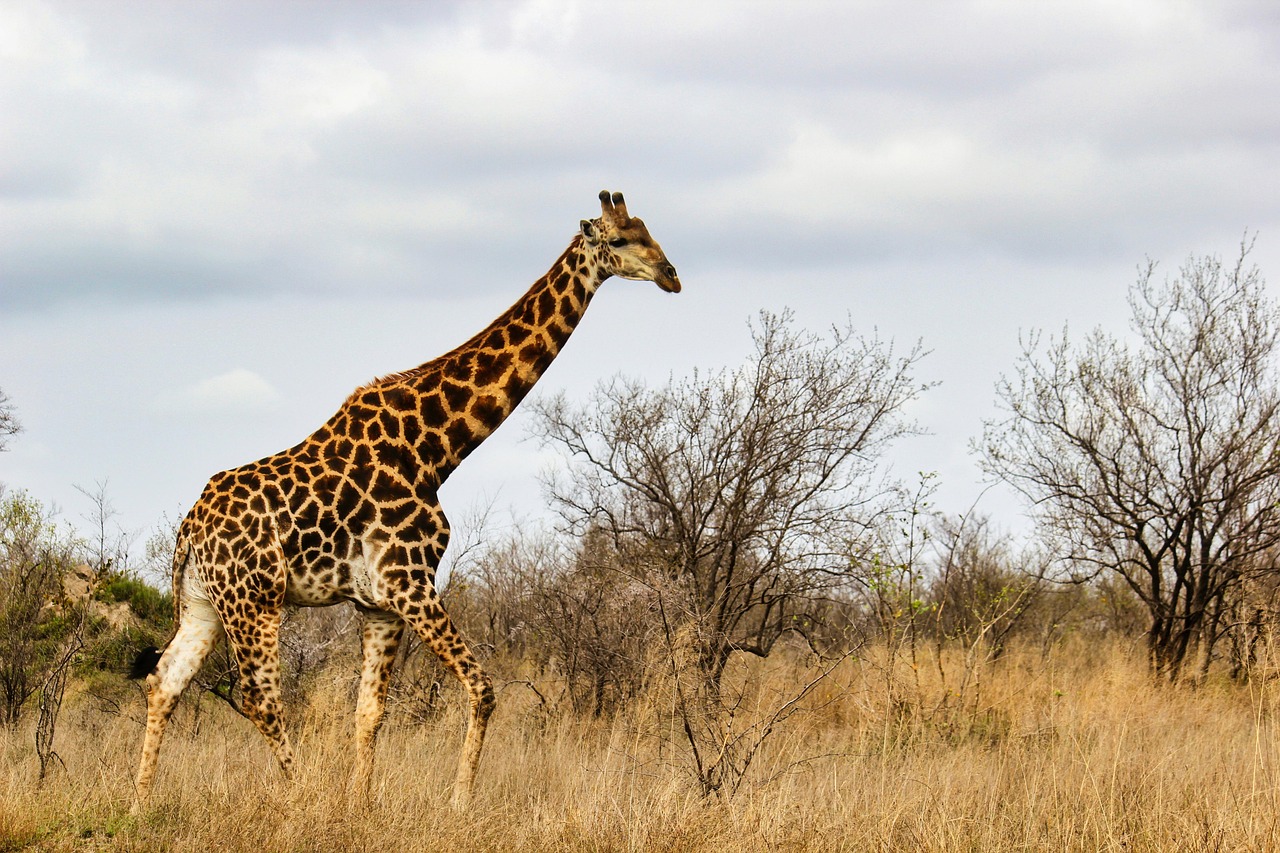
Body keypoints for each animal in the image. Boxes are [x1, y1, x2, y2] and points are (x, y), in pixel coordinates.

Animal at [131, 190, 680, 811]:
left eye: (649, 230)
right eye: (621, 240)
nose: (672, 275)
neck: (438, 447)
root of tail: (189, 529)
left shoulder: (380, 603)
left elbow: (370, 712)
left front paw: (361, 804)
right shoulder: (411, 582)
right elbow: (483, 689)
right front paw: (459, 802)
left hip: (205, 602)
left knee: (164, 682)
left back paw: (139, 803)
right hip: (256, 601)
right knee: (260, 699)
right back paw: (302, 797)